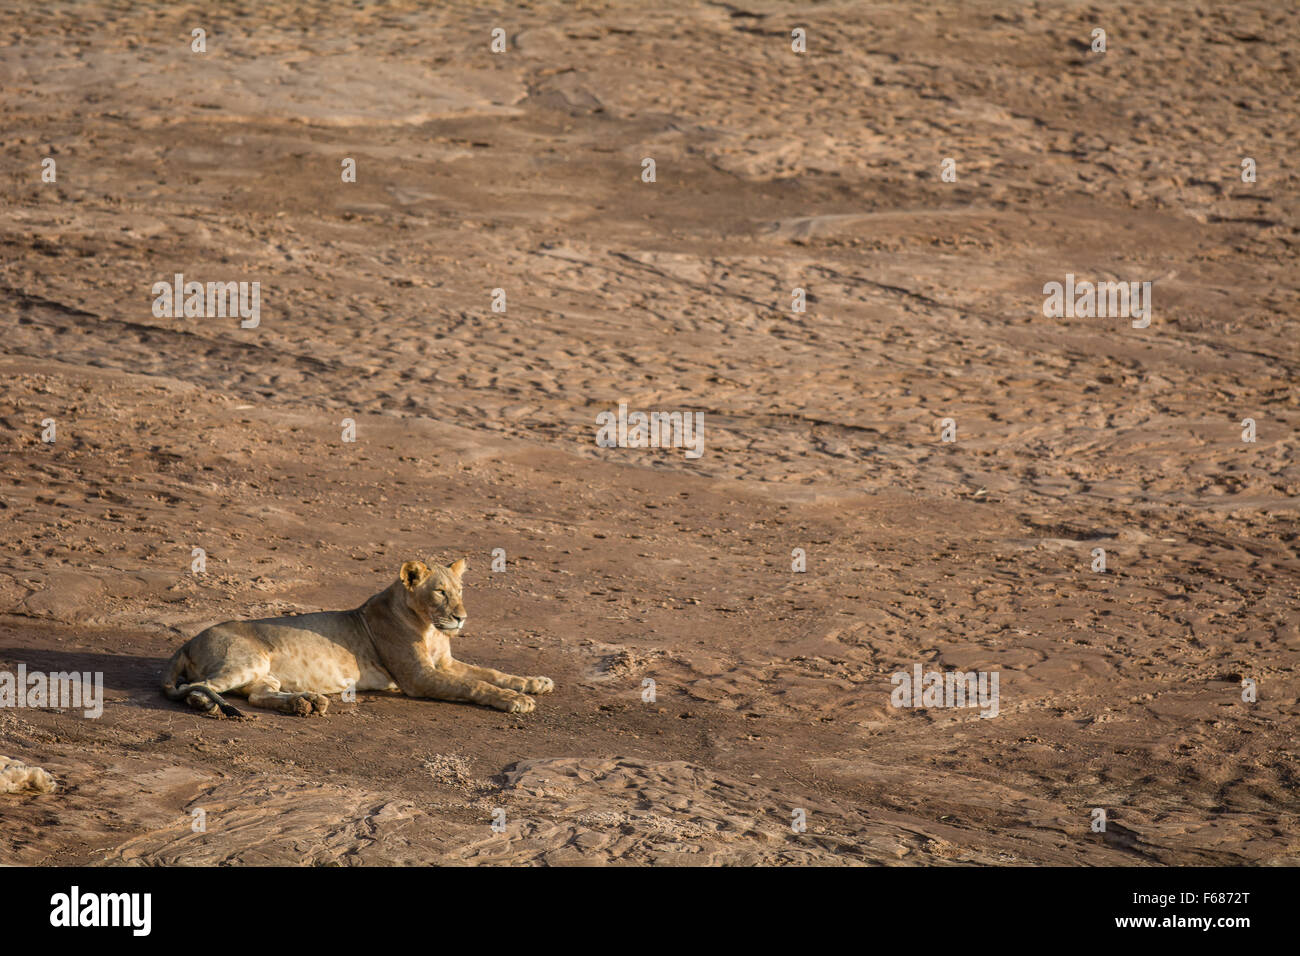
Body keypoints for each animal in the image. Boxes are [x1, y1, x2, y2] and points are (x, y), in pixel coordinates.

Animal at [161, 558, 553, 718]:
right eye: (440, 592)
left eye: (459, 591)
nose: (461, 617)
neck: (430, 628)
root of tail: (188, 641)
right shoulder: (420, 677)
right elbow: (475, 685)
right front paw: (516, 700)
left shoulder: (445, 662)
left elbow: (491, 673)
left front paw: (534, 683)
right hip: (248, 660)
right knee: (196, 688)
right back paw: (208, 705)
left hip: (263, 674)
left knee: (258, 695)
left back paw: (307, 703)